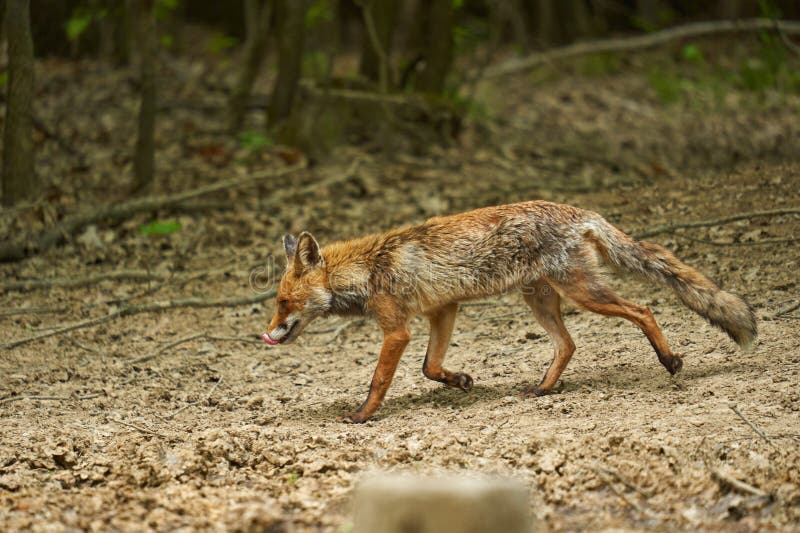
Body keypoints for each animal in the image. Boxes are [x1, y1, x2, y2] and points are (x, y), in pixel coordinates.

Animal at [262, 200, 757, 423]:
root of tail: (579, 210)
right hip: (540, 300)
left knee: (644, 308)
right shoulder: (444, 310)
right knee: (568, 344)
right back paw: (543, 389)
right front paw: (461, 381)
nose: (267, 333)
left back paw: (669, 360)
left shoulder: (398, 330)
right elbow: (430, 367)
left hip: (584, 294)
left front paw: (362, 416)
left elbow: (380, 379)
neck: (367, 268)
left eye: (284, 303)